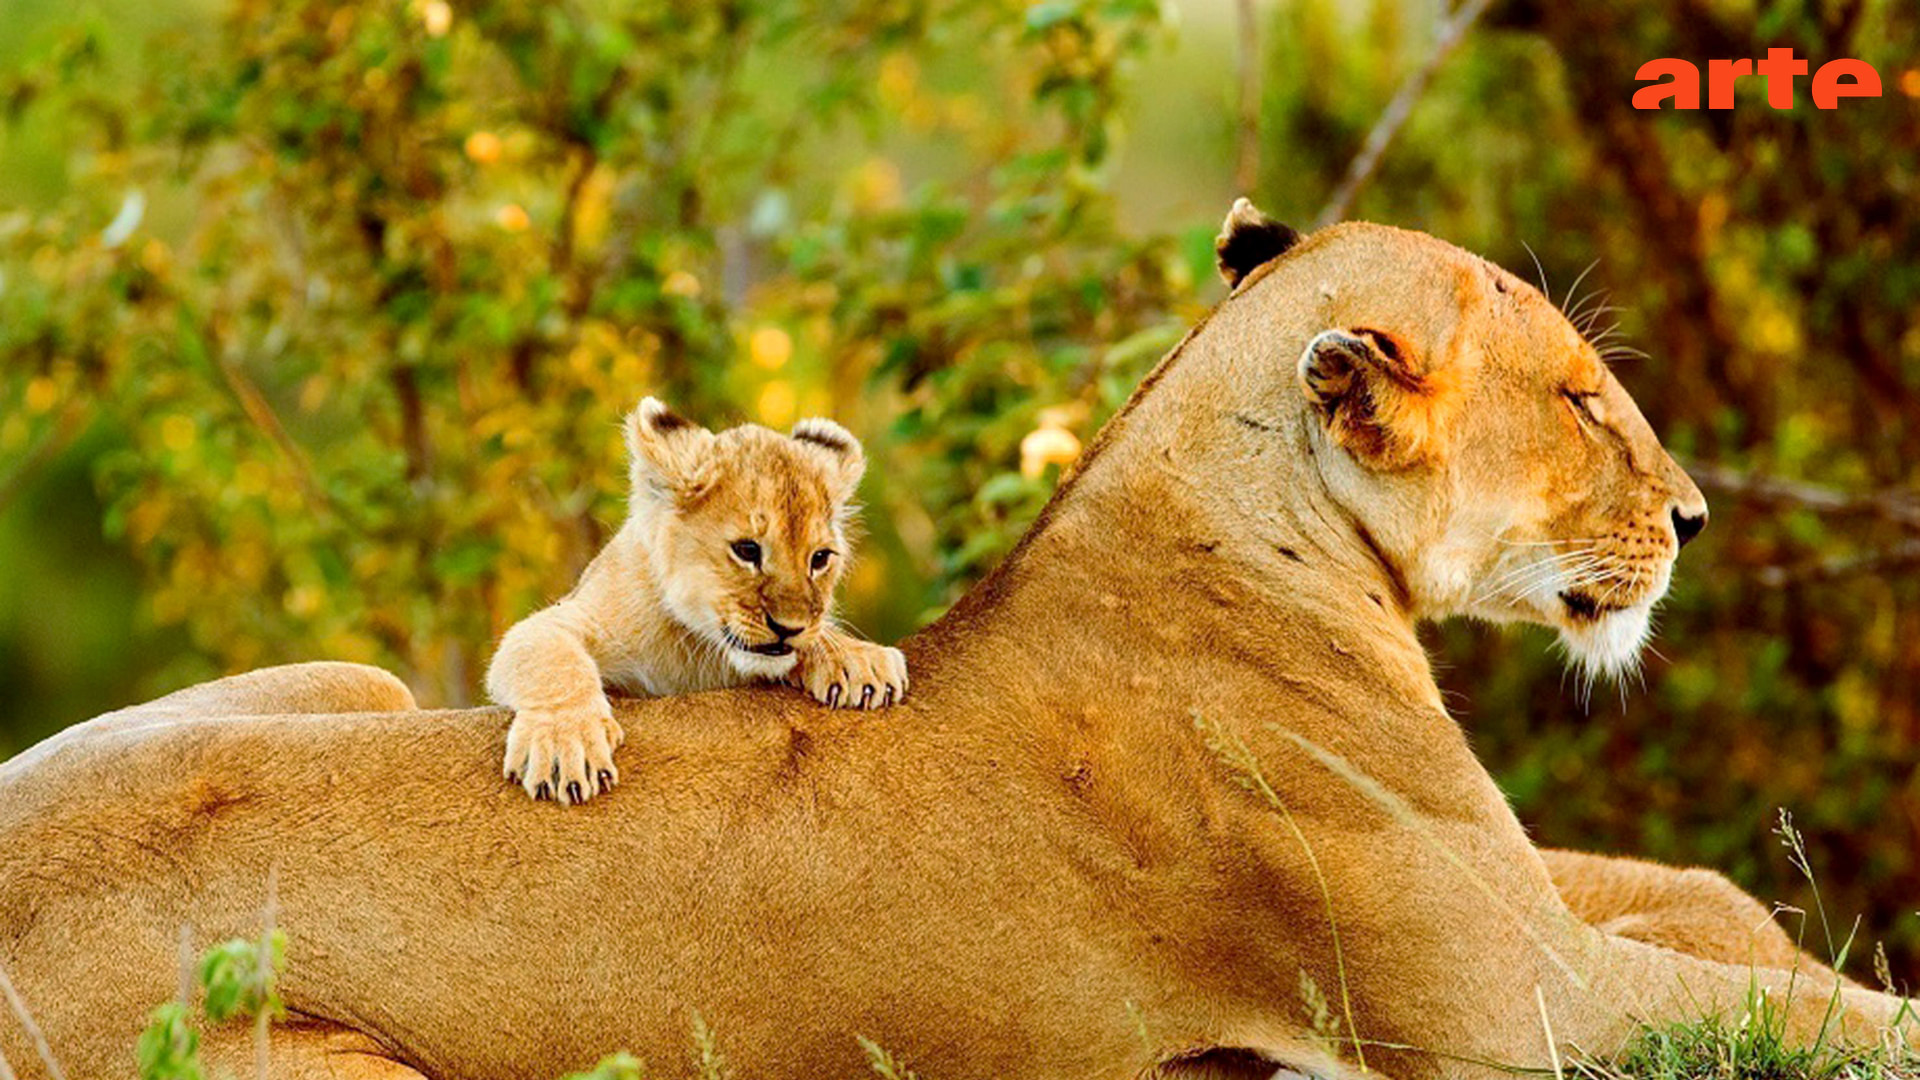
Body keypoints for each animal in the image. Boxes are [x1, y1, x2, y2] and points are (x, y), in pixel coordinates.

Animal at [485, 397, 908, 804]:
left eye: (819, 559)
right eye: (747, 550)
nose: (789, 628)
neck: (695, 647)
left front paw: (858, 658)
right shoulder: (569, 617)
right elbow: (553, 661)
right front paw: (564, 745)